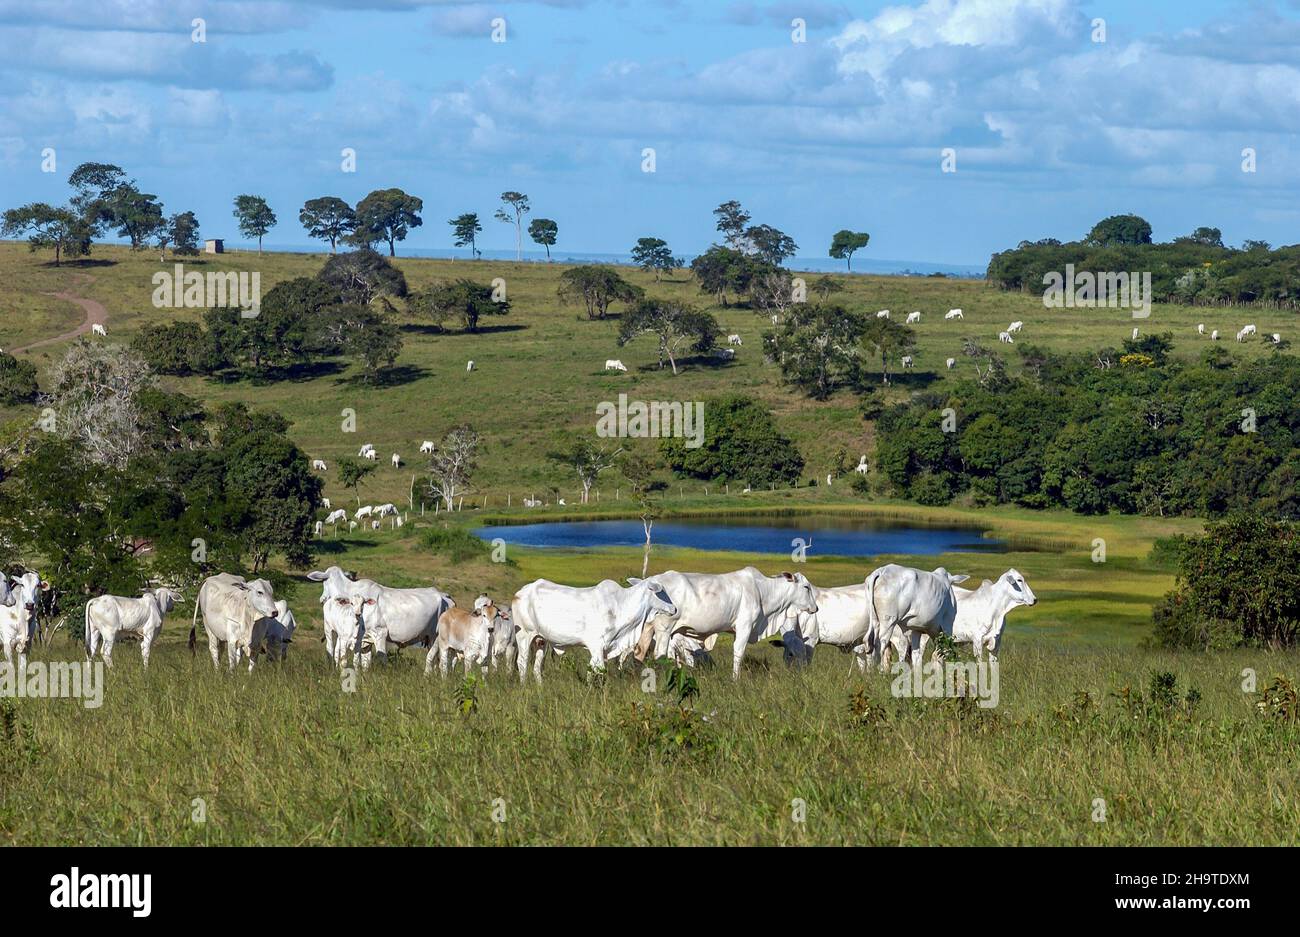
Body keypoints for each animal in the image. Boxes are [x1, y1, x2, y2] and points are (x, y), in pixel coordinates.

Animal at [511, 577, 677, 683]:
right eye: (661, 592)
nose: (674, 609)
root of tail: (519, 593)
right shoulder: (597, 646)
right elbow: (598, 670)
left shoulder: (603, 649)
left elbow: (592, 671)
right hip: (524, 634)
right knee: (522, 662)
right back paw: (524, 686)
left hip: (541, 640)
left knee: (537, 667)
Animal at [632, 568, 818, 678]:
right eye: (806, 587)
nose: (815, 608)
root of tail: (651, 580)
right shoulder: (745, 626)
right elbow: (739, 652)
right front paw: (735, 679)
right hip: (664, 628)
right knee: (659, 653)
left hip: (648, 629)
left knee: (639, 653)